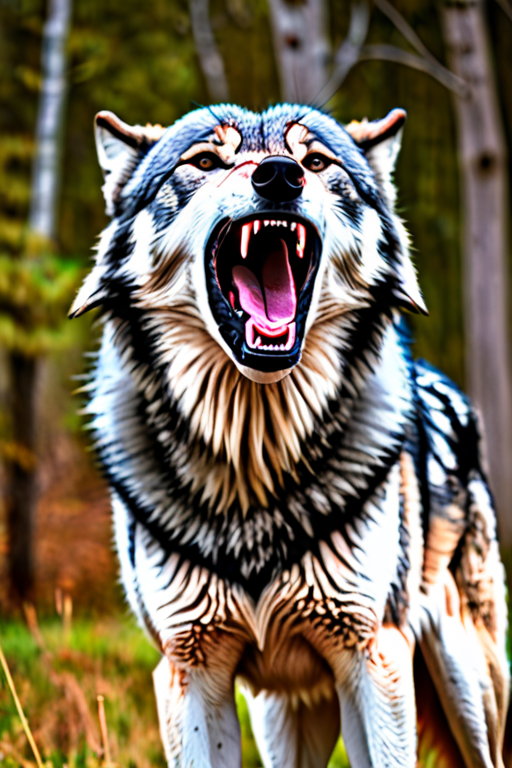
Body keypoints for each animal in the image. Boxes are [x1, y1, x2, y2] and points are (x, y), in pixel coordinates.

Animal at [70, 104, 509, 767]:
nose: (279, 175)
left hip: (464, 687)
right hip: (285, 715)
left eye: (316, 161)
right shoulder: (187, 672)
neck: (256, 450)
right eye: (205, 160)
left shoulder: (375, 657)